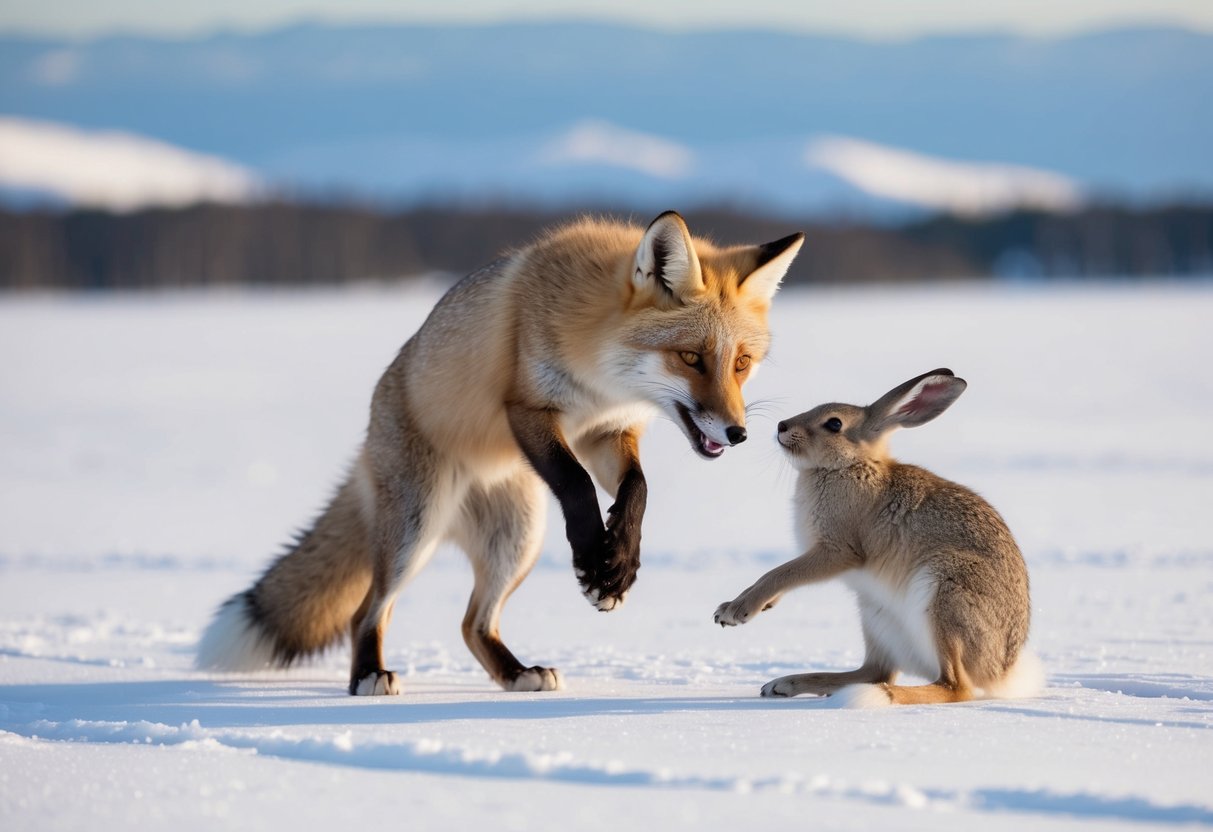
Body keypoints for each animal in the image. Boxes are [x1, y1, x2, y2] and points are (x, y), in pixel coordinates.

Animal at [197, 211, 804, 695]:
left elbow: (637, 490)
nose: (737, 432)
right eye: (691, 358)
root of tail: (368, 440)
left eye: (741, 363)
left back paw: (515, 673)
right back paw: (369, 674)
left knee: (472, 624)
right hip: (417, 529)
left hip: (517, 540)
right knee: (367, 611)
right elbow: (576, 484)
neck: (601, 377)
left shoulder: (606, 433)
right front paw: (594, 561)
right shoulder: (527, 409)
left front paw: (619, 563)